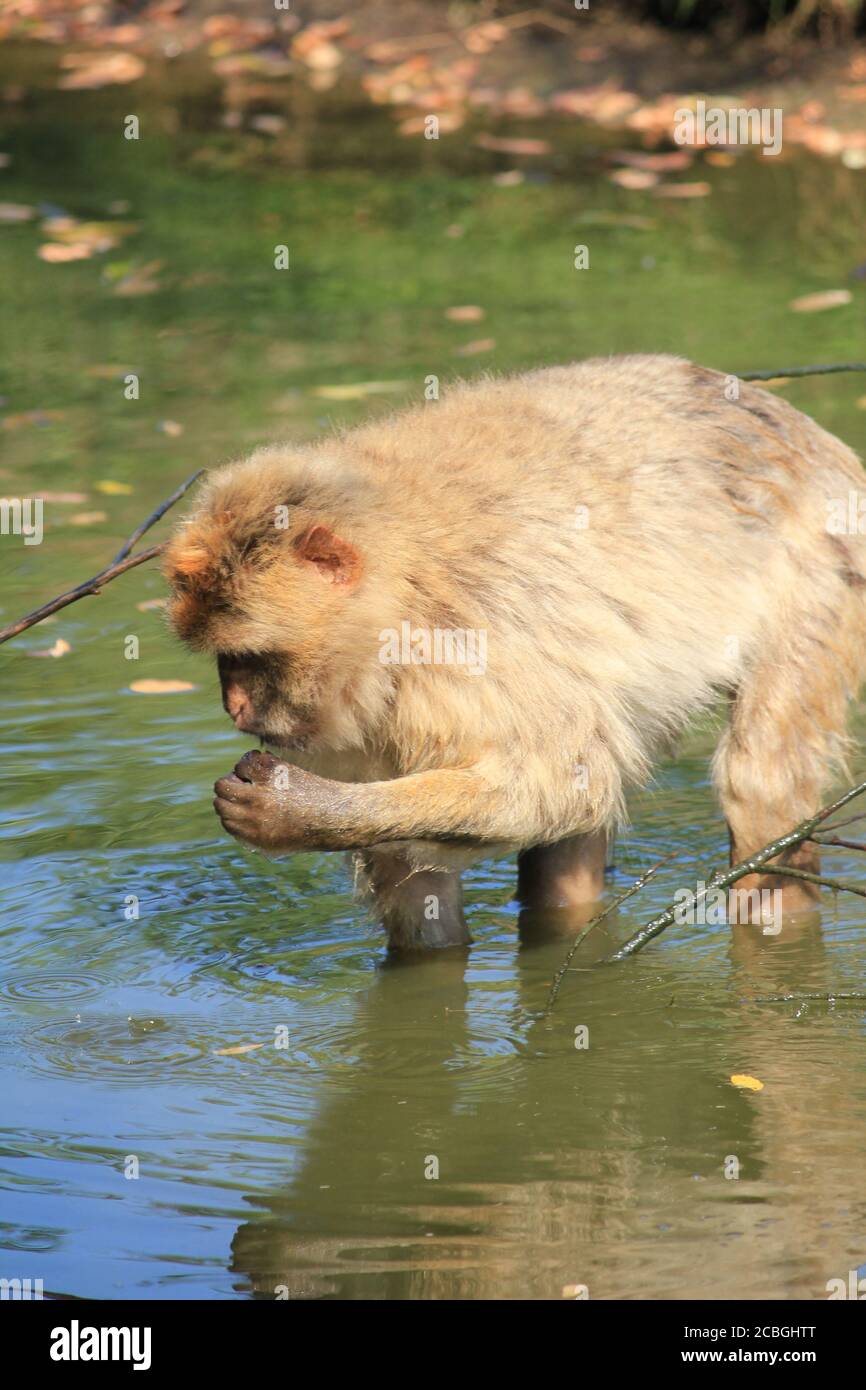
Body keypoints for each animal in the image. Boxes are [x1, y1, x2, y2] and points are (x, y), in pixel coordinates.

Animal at [163, 354, 866, 951]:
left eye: (251, 657)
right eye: (223, 659)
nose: (234, 705)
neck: (404, 587)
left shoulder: (483, 632)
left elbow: (559, 786)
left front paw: (293, 809)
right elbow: (417, 878)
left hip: (824, 571)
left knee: (758, 782)